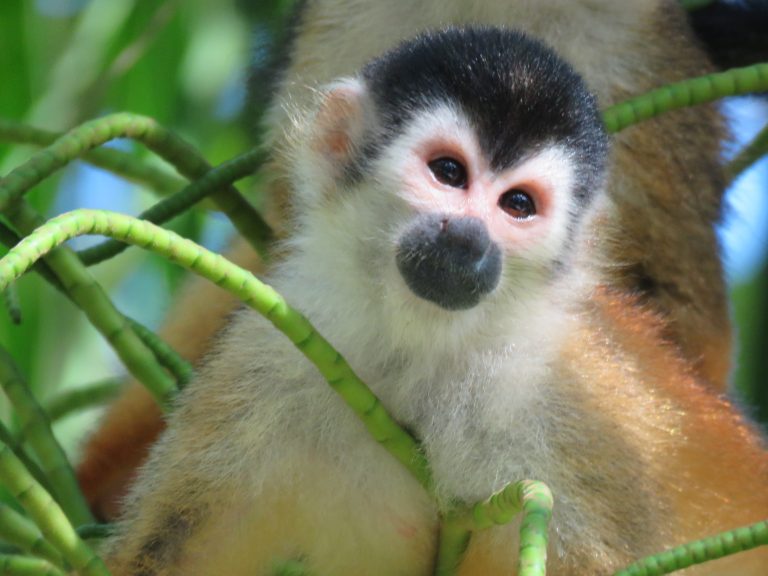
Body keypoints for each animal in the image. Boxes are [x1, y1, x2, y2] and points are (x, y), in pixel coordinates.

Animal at [101, 27, 768, 576]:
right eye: (449, 171)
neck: (424, 349)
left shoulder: (575, 413)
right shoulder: (270, 353)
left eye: (518, 205)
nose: (468, 238)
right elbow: (163, 553)